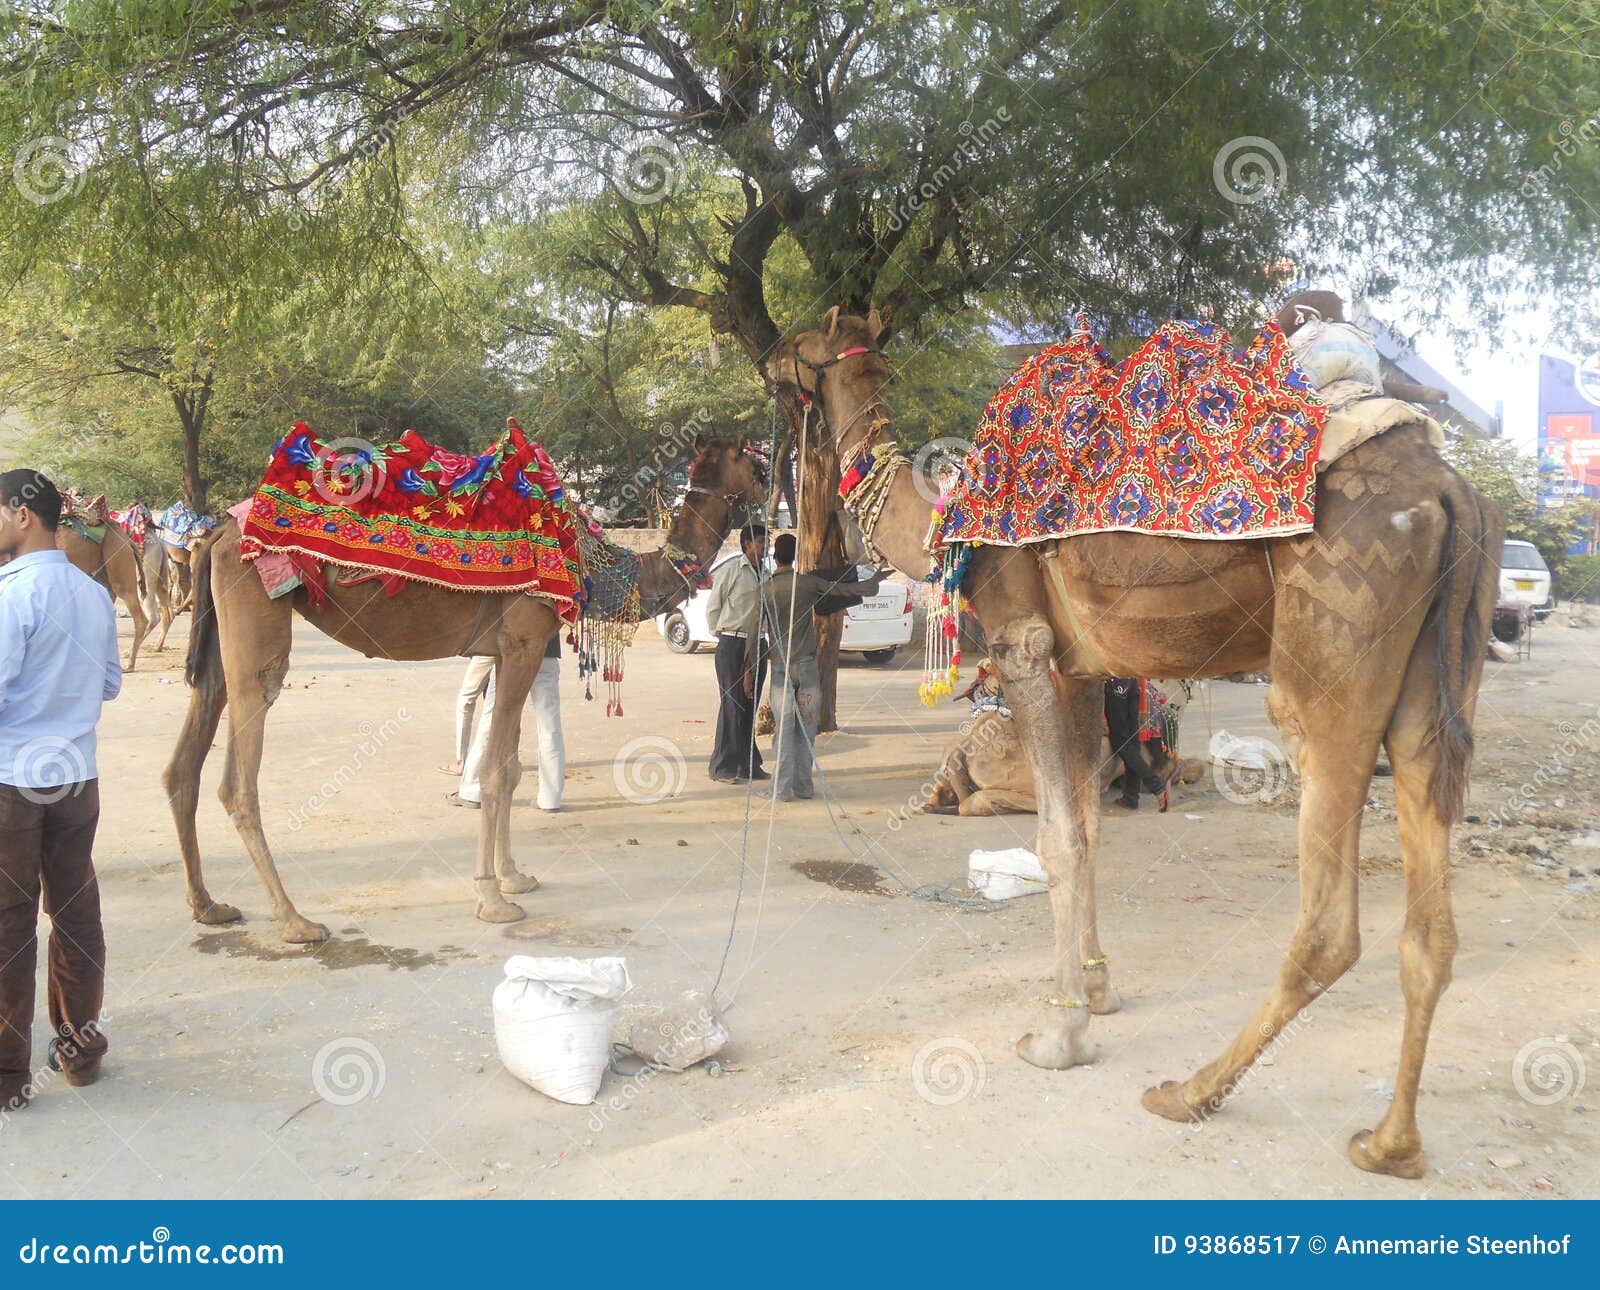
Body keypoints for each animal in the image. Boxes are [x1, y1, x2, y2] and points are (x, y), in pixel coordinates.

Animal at [164, 437, 764, 944]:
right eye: (745, 452)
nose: (766, 476)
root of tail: (217, 533)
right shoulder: (525, 641)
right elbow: (497, 772)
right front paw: (493, 900)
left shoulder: (504, 651)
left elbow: (511, 765)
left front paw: (514, 876)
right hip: (257, 620)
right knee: (239, 772)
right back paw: (295, 921)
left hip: (218, 638)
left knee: (184, 762)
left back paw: (207, 905)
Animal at [768, 308, 1502, 1180]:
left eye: (806, 342)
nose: (769, 360)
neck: (948, 512)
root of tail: (1447, 490)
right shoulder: (1081, 670)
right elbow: (1086, 828)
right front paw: (1096, 992)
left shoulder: (1022, 645)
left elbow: (1055, 839)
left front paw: (1057, 1036)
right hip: (1437, 684)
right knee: (1432, 923)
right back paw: (1390, 1144)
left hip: (1331, 663)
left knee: (1330, 920)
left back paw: (1191, 1092)